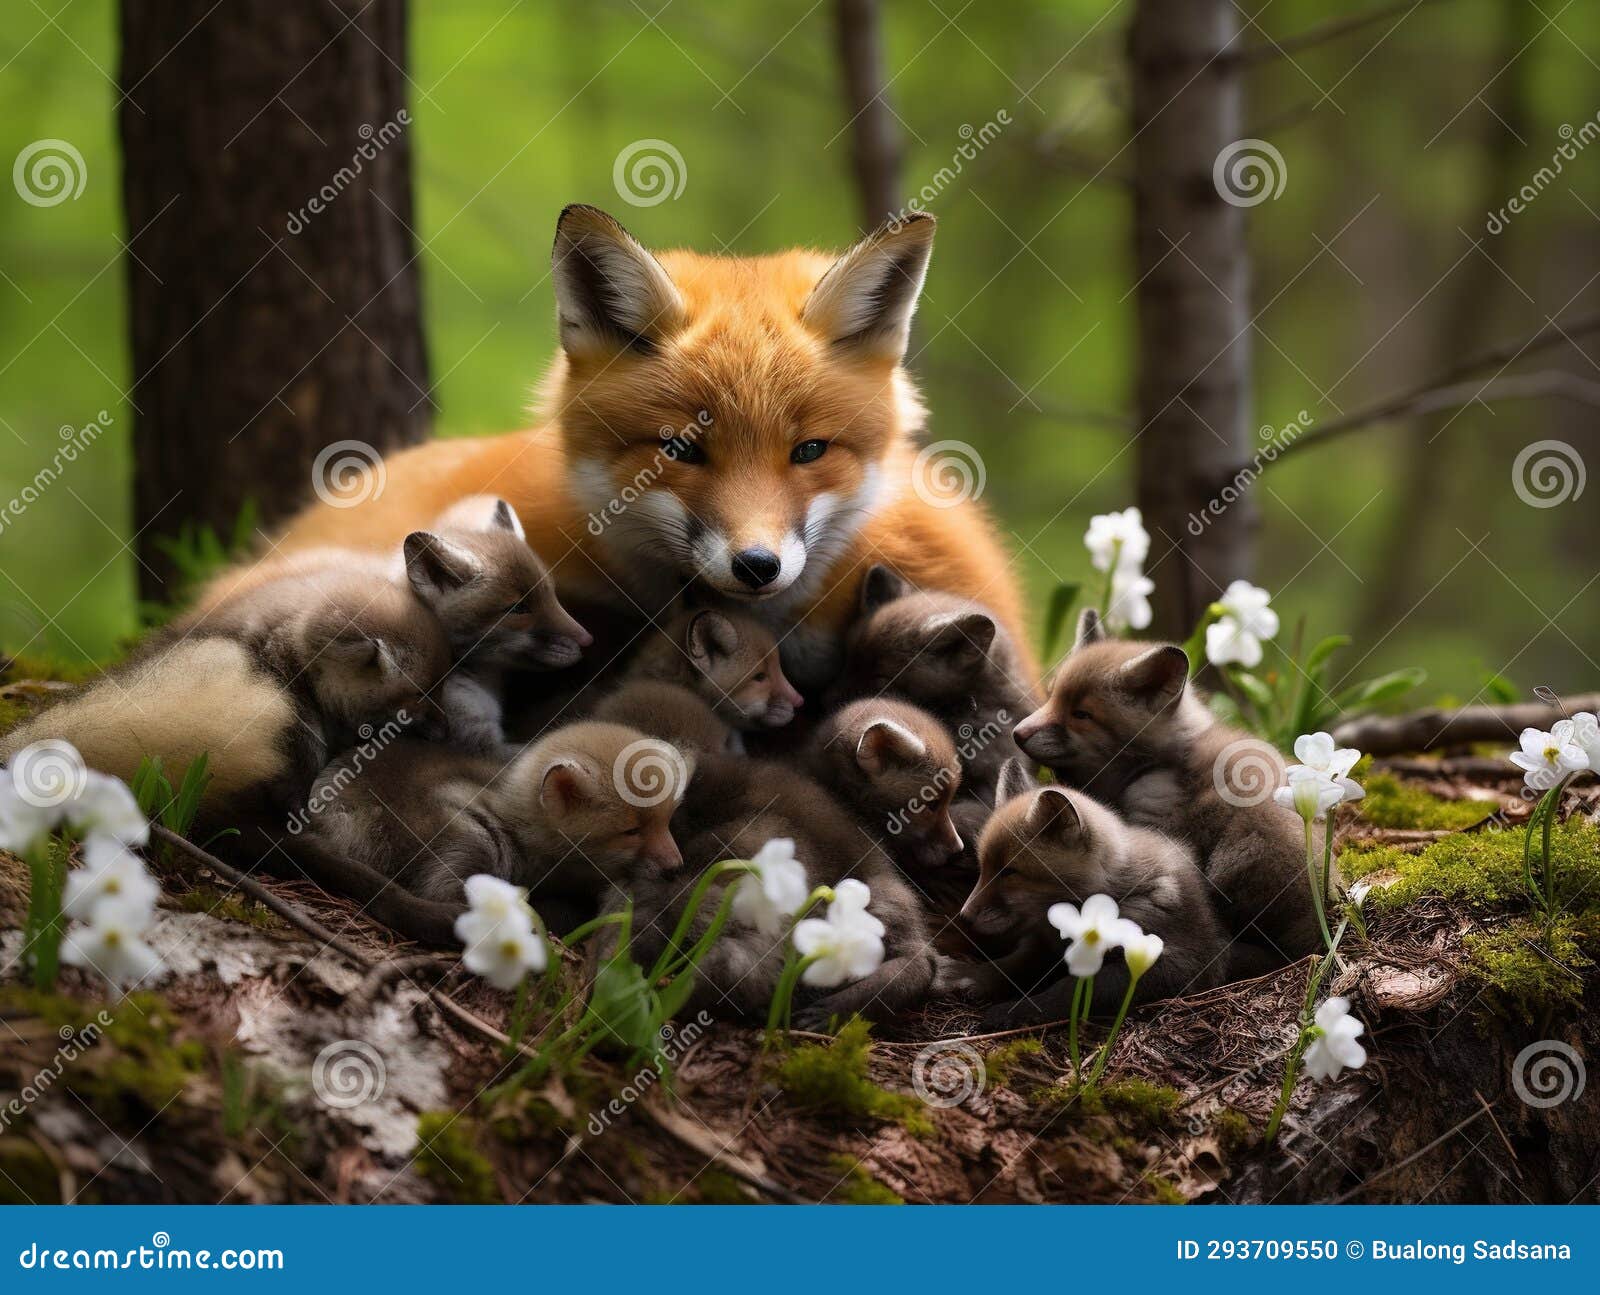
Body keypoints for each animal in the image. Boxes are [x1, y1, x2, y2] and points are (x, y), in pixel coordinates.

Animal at [943, 760, 1228, 1028]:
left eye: (1009, 872)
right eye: (983, 868)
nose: (964, 917)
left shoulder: (1175, 963)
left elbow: (1070, 991)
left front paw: (1017, 1010)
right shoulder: (1045, 942)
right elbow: (1012, 964)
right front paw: (973, 975)